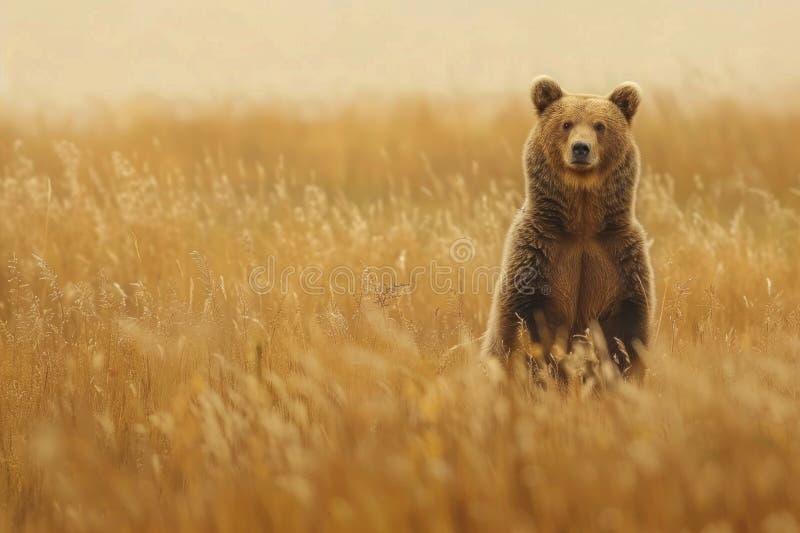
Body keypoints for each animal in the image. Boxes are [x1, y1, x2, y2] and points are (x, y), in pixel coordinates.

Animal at [481, 76, 655, 380]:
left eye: (600, 125)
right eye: (566, 123)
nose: (581, 148)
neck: (582, 223)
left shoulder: (620, 256)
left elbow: (626, 332)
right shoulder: (538, 253)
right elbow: (520, 326)